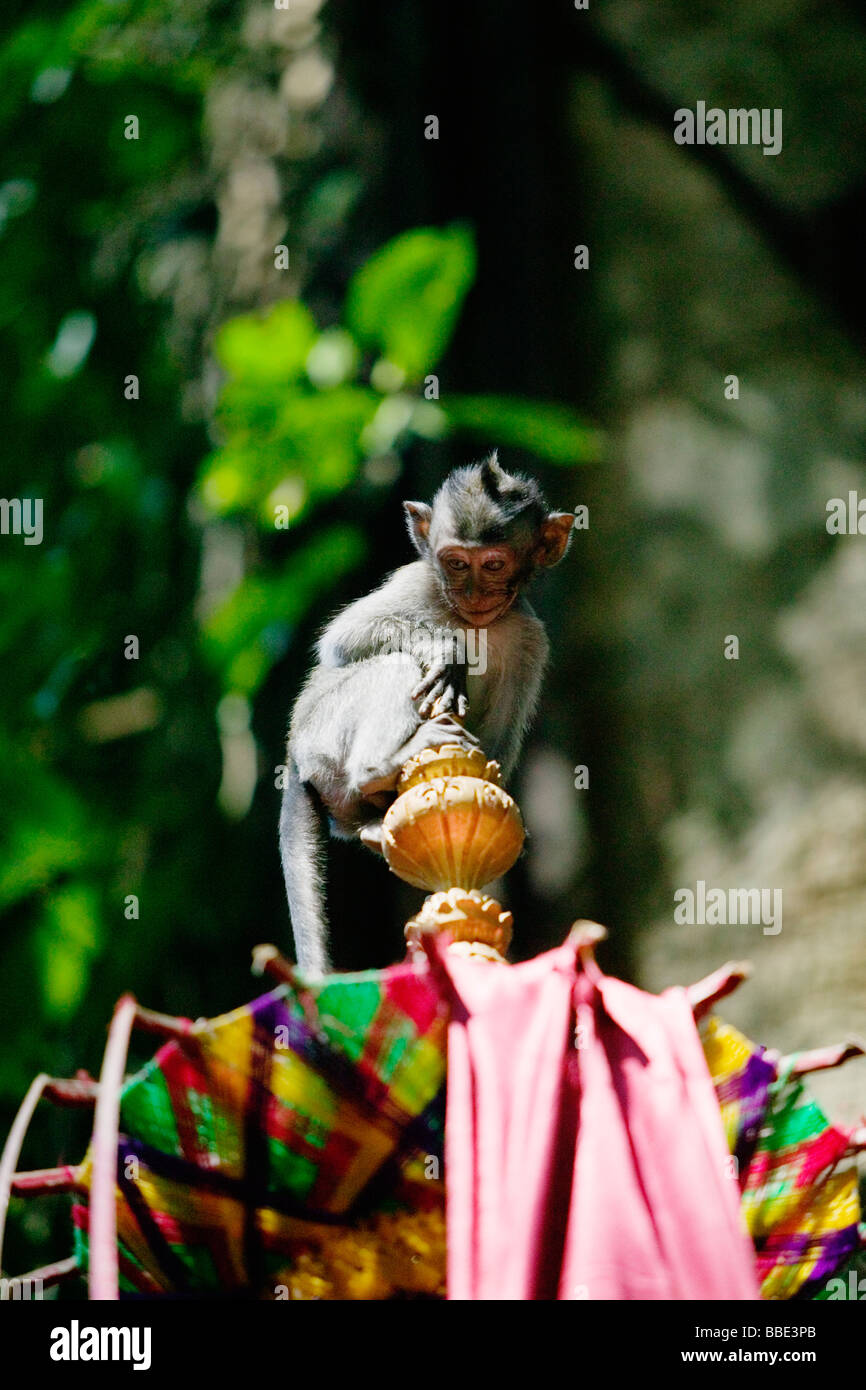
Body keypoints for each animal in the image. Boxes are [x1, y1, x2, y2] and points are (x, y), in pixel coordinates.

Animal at [279, 452, 575, 975]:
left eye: (493, 564)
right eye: (455, 563)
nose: (473, 593)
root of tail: (294, 759)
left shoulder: (529, 636)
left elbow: (497, 740)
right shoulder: (417, 579)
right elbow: (343, 639)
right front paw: (445, 649)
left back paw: (371, 822)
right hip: (323, 735)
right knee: (393, 666)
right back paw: (379, 767)